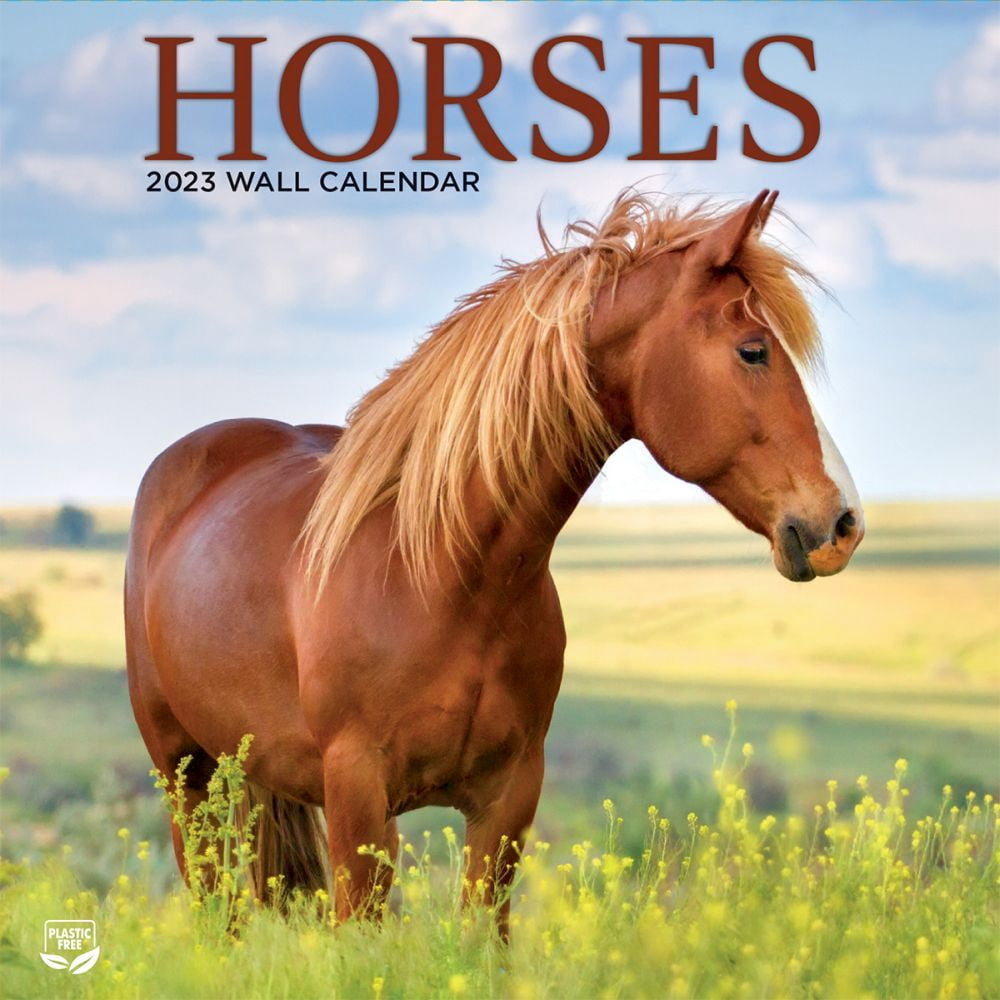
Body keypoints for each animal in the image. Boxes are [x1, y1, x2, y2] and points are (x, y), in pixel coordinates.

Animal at [125, 189, 864, 934]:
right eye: (753, 351)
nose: (843, 523)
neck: (443, 577)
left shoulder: (508, 798)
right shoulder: (357, 797)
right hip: (187, 780)